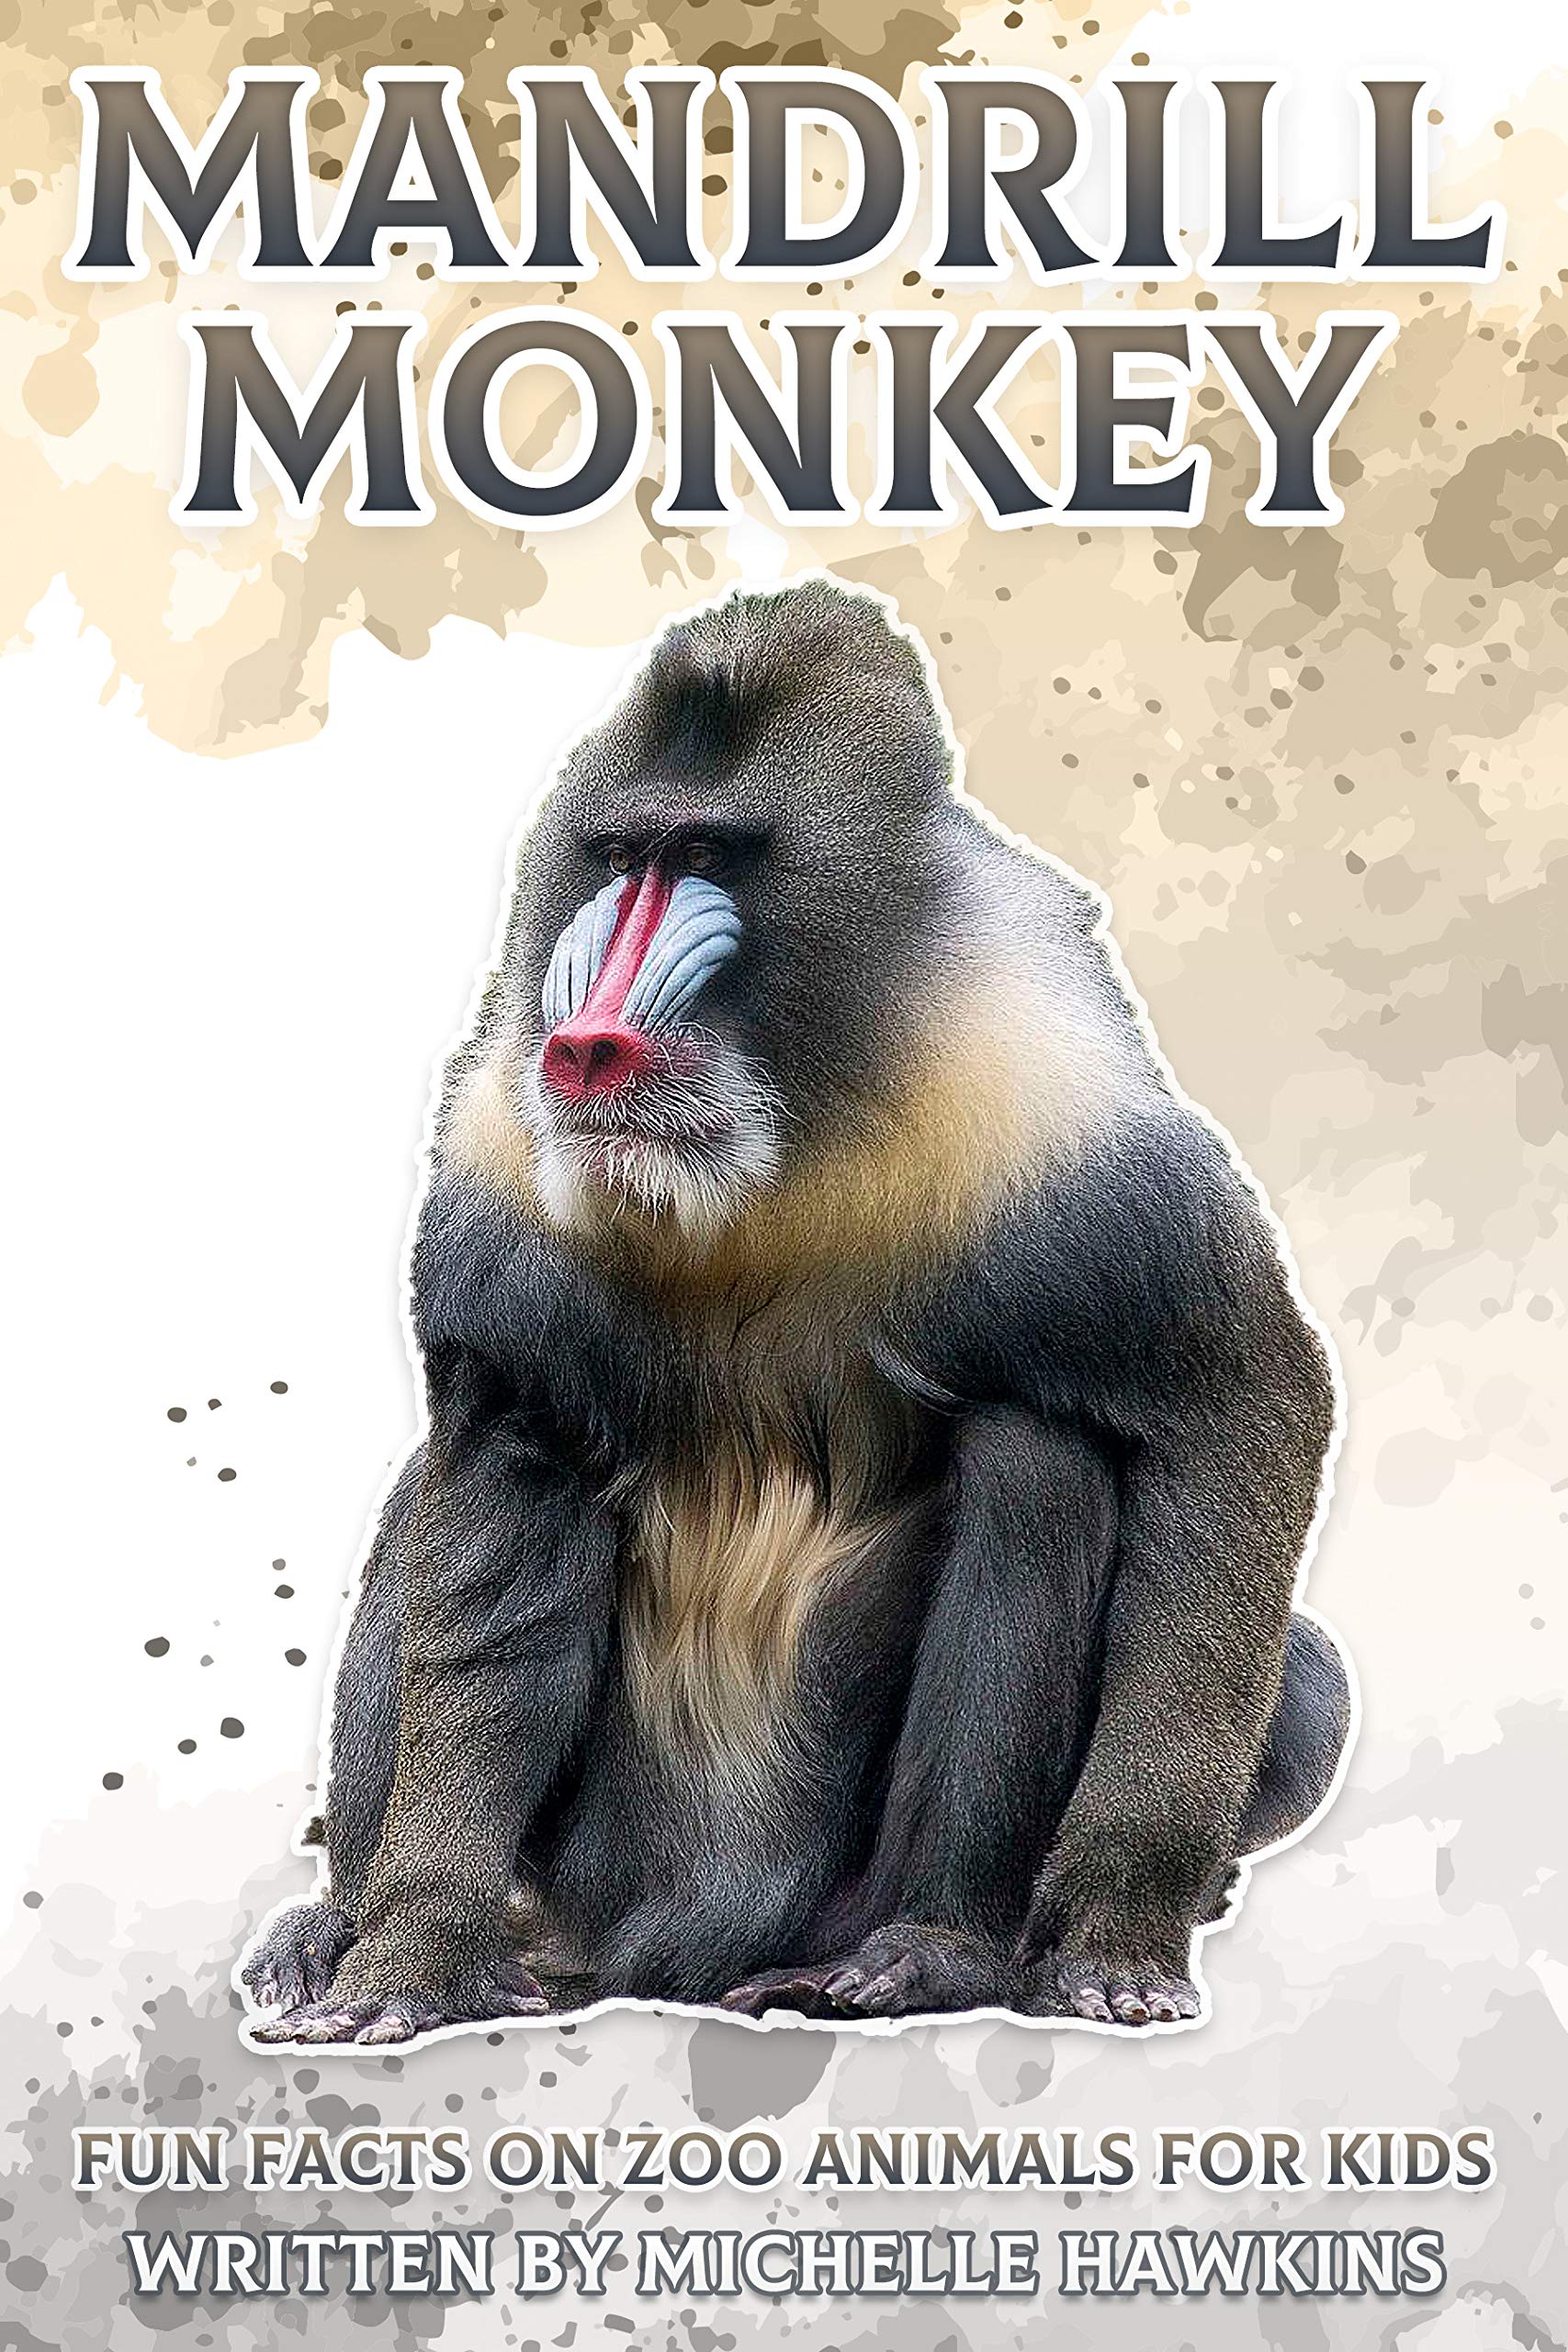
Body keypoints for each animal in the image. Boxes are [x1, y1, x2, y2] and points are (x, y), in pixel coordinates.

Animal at [240, 577, 1349, 2044]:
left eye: (710, 851)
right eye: (619, 857)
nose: (586, 1043)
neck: (774, 1157)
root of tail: (676, 1949)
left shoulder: (1057, 1117)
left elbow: (1236, 1410)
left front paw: (1117, 1931)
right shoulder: (497, 1177)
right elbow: (490, 1513)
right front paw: (415, 1954)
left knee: (1043, 1463)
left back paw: (924, 1952)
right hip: (598, 1862)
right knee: (424, 1485)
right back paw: (355, 1934)